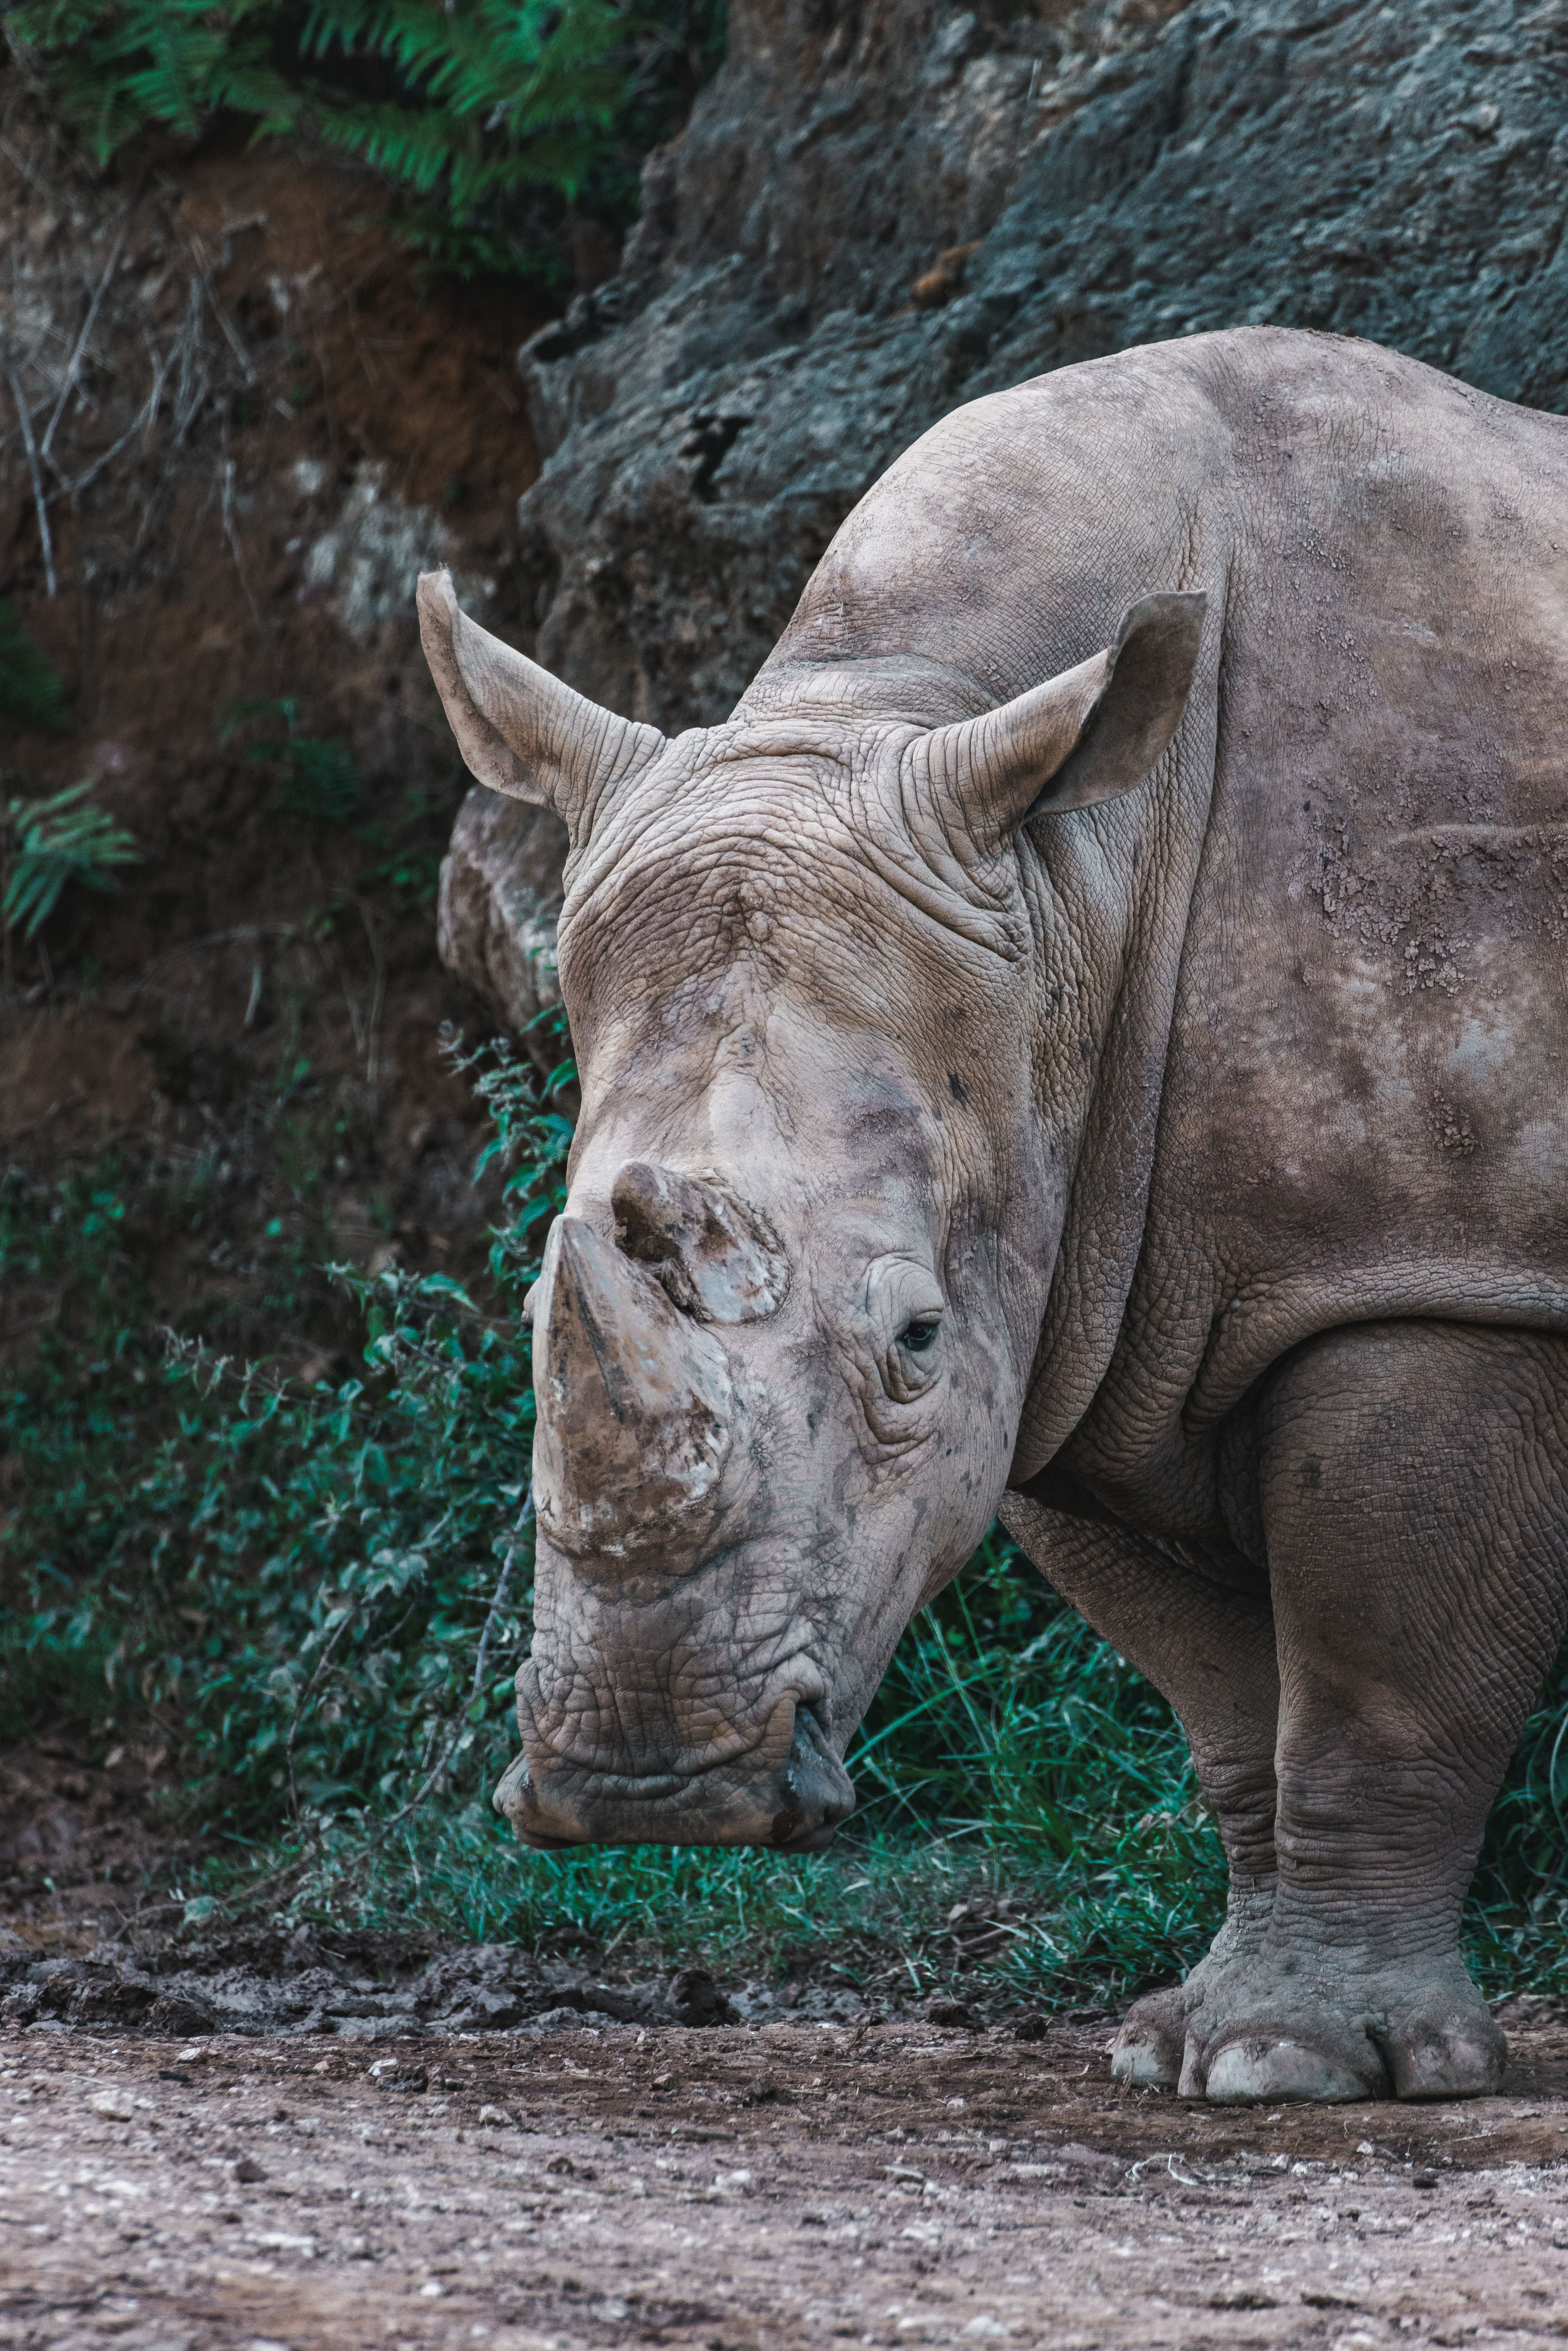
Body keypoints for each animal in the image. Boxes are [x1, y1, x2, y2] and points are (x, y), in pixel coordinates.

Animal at [419, 325, 1568, 2106]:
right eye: (536, 1315)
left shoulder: (1422, 1265)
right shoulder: (1096, 1302)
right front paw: (1182, 2045)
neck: (1078, 886)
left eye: (910, 1337)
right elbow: (1230, 1703)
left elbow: (1374, 1682)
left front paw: (1292, 2067)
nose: (643, 1781)